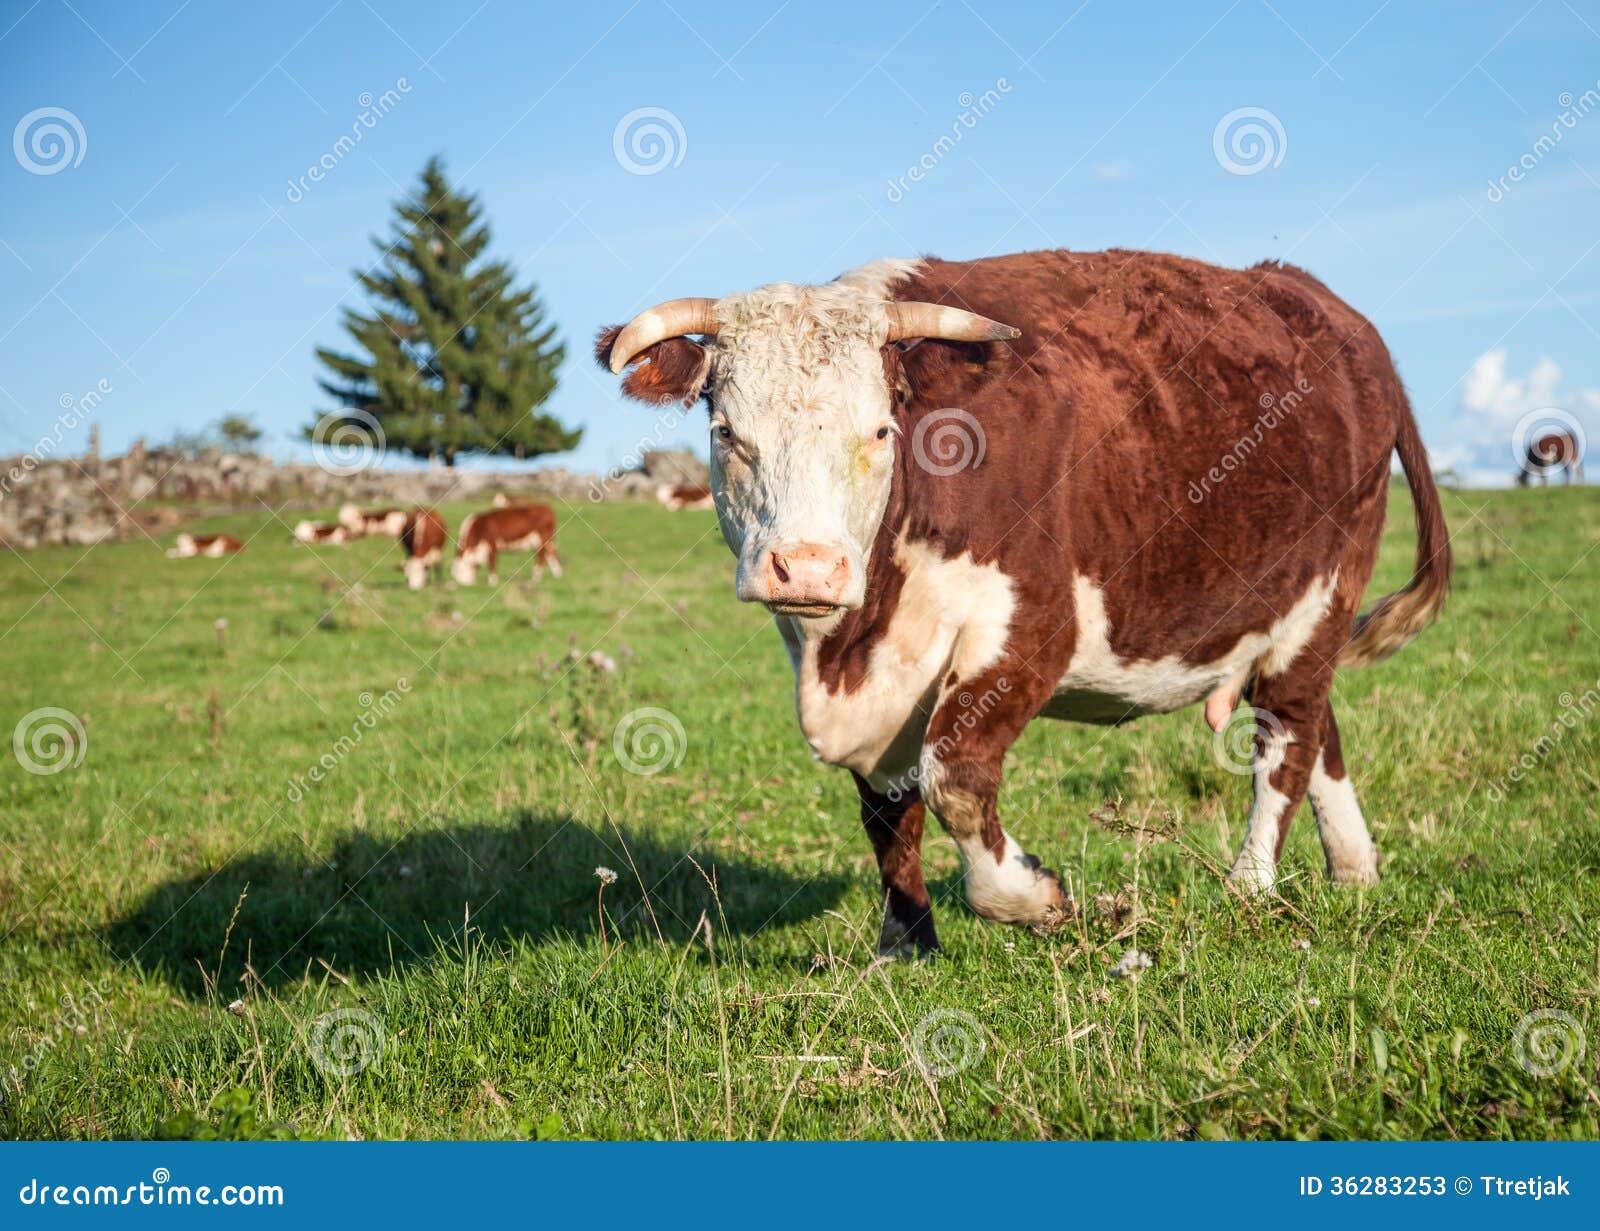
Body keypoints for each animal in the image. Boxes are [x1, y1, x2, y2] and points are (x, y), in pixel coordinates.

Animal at [597, 251, 1452, 956]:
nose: (806, 566)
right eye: (727, 432)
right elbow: (886, 811)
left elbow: (955, 774)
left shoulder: (1033, 626)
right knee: (1319, 728)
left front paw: (1034, 898)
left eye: (879, 431)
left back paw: (1251, 883)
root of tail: (1325, 304)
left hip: (1321, 596)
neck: (851, 645)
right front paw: (905, 942)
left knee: (1288, 735)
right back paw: (1354, 868)